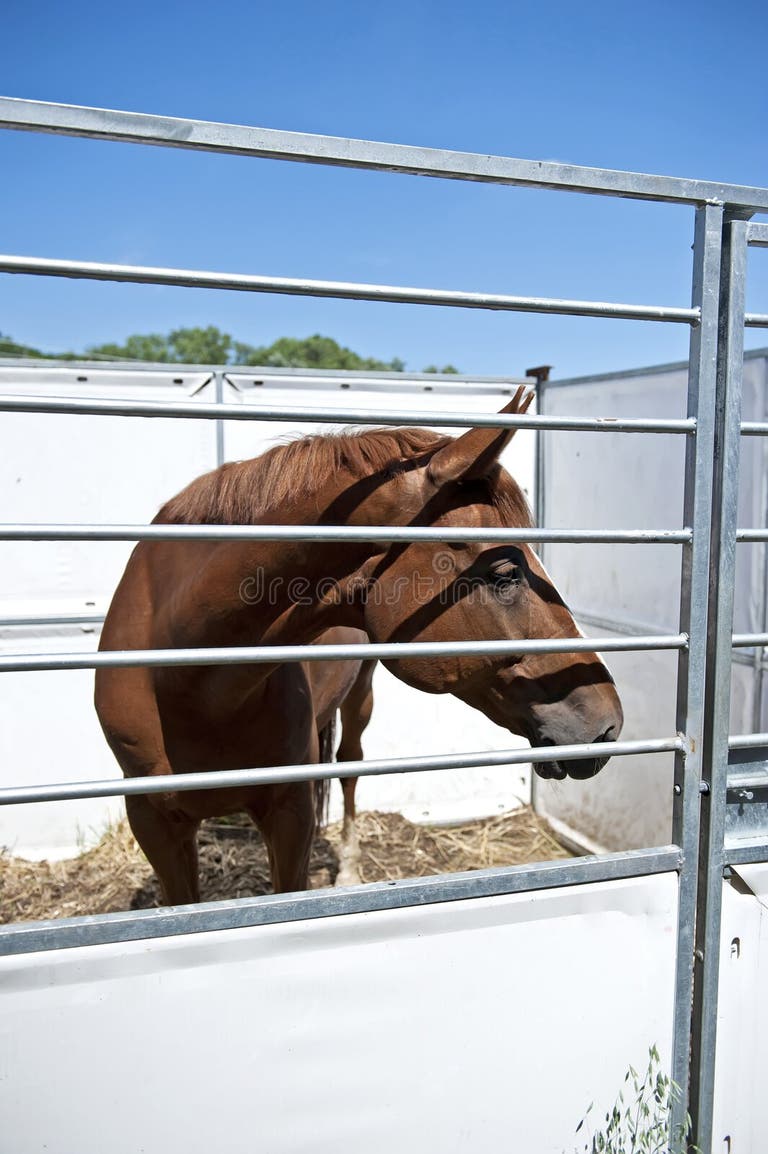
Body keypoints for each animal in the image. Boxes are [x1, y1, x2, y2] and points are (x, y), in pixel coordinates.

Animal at [95, 387, 623, 905]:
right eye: (506, 573)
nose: (608, 724)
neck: (190, 682)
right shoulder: (153, 822)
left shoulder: (289, 813)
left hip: (361, 695)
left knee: (349, 767)